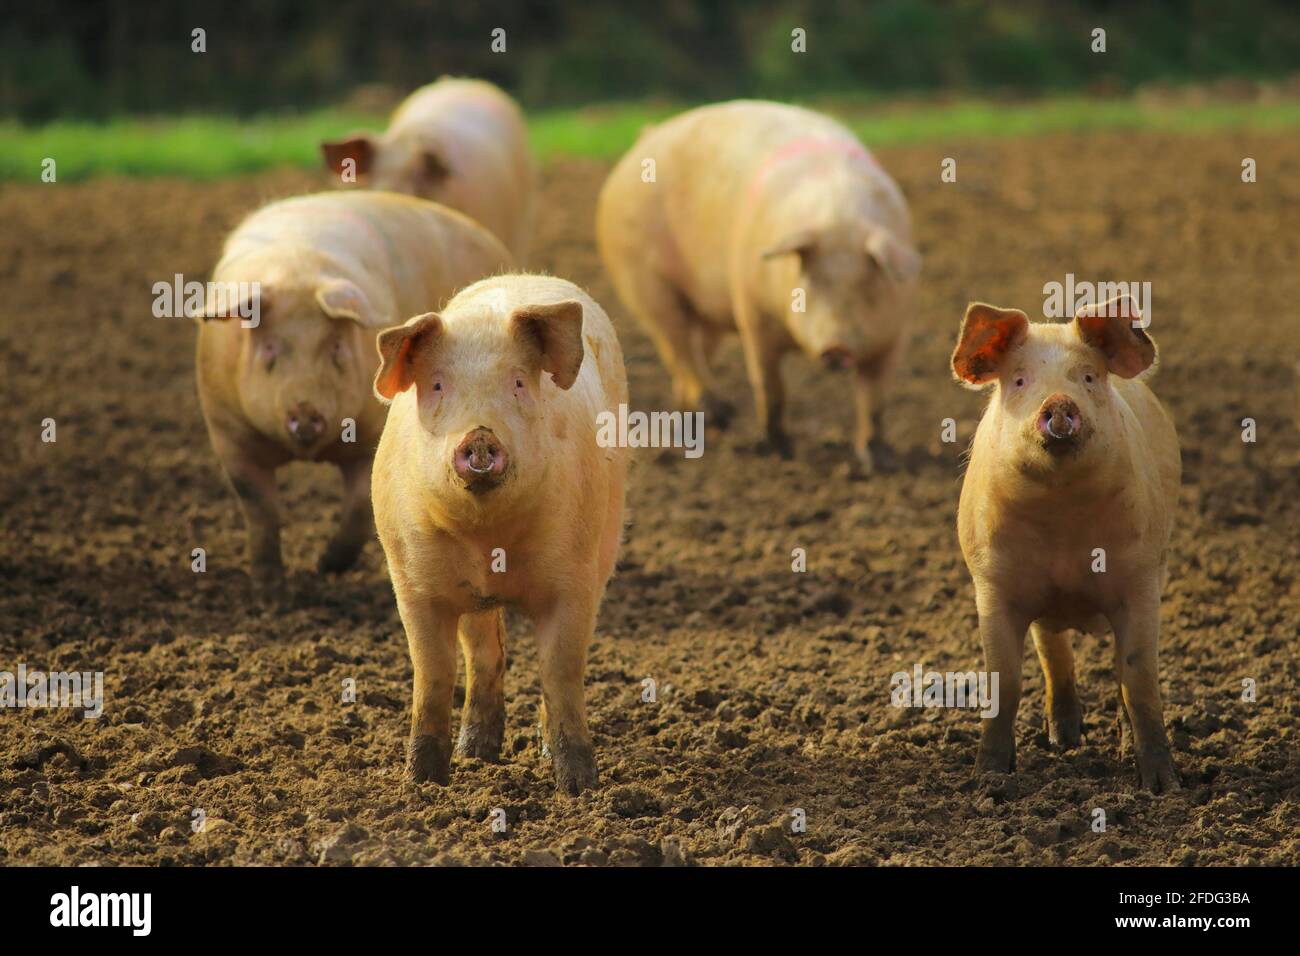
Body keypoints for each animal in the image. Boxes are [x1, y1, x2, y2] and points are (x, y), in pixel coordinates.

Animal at [194, 192, 513, 588]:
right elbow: (261, 508)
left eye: (336, 348)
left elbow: (361, 505)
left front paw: (326, 566)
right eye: (269, 349)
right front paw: (269, 588)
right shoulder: (227, 430)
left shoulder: (370, 432)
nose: (305, 414)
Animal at [370, 275, 628, 794]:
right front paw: (423, 783)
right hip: (472, 602)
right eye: (437, 385)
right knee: (483, 652)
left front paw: (578, 787)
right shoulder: (411, 582)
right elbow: (433, 672)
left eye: (519, 383)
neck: (487, 539)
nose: (480, 437)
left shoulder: (575, 580)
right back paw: (476, 753)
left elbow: (560, 670)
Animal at [596, 100, 920, 468]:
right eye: (811, 282)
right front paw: (778, 451)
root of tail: (644, 140)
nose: (836, 347)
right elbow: (771, 386)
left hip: (701, 309)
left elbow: (874, 398)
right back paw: (720, 414)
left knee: (692, 352)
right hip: (643, 280)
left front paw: (877, 462)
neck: (840, 215)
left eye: (868, 286)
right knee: (677, 345)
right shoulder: (752, 314)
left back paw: (693, 426)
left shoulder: (895, 334)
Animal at [951, 295, 1181, 792]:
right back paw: (1064, 741)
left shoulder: (1140, 579)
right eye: (1020, 379)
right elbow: (1005, 682)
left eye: (1089, 377)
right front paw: (987, 780)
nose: (1058, 402)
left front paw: (1162, 787)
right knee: (1053, 653)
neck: (1061, 520)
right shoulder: (992, 585)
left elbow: (1138, 678)